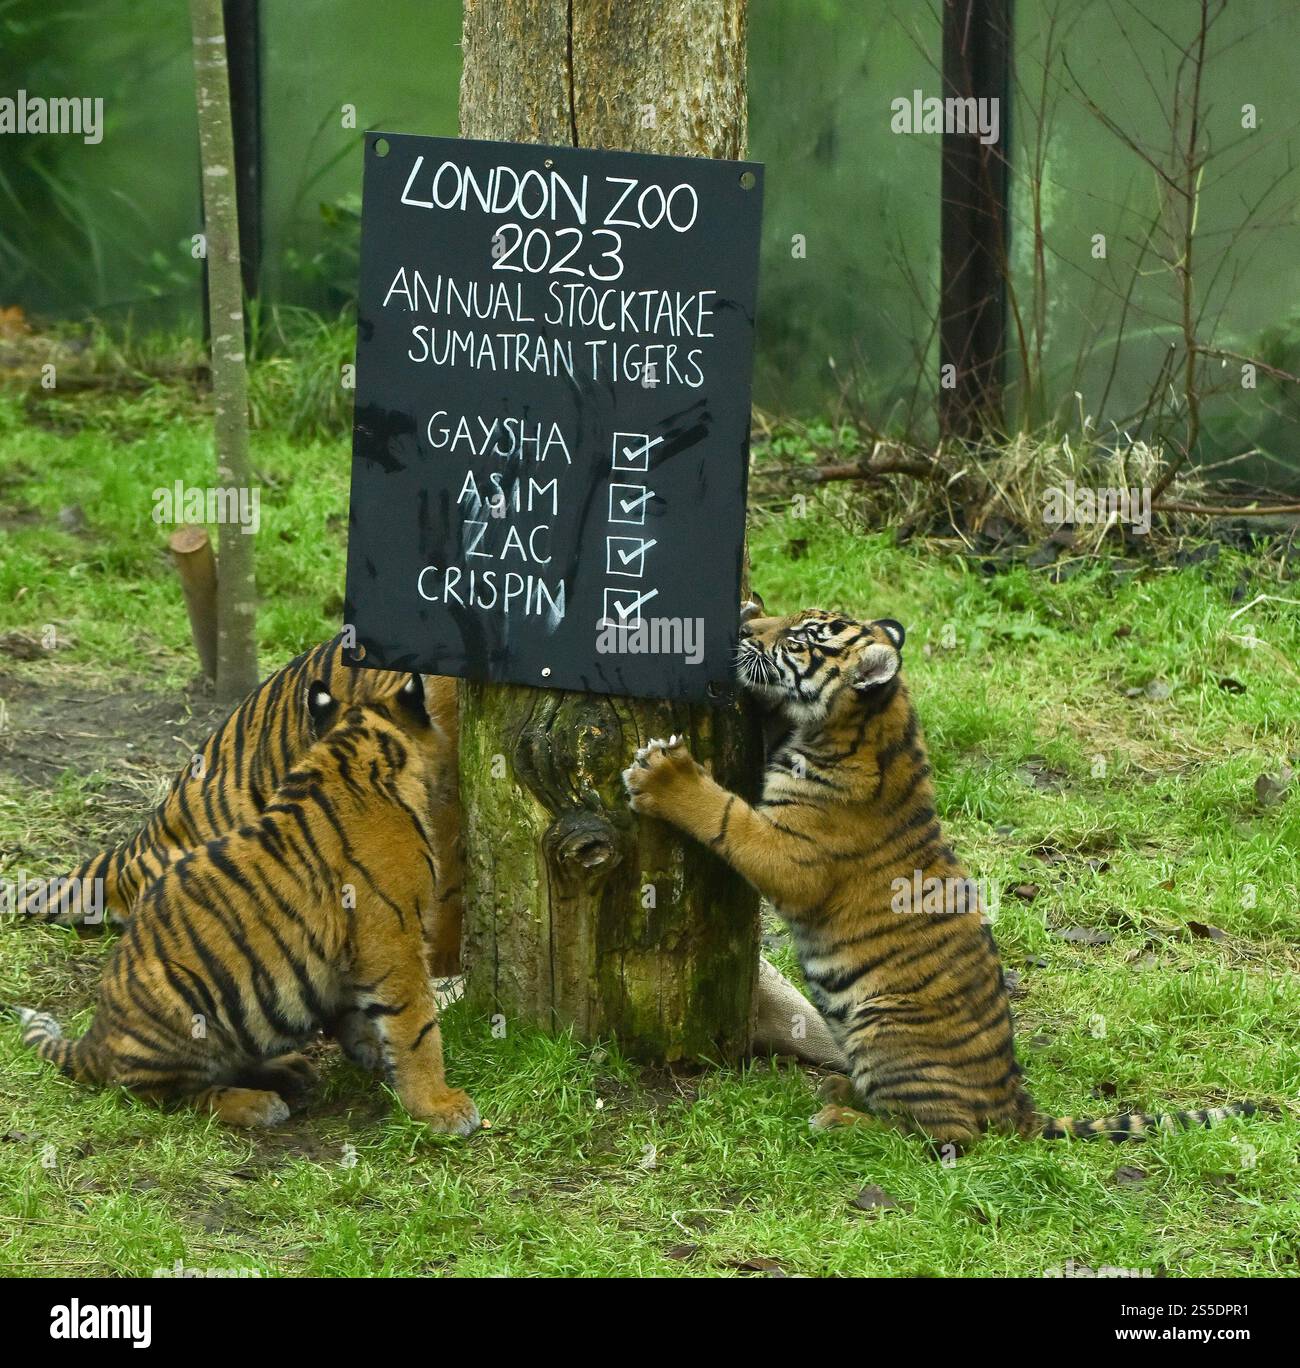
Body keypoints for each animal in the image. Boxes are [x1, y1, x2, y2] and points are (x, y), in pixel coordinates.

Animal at [6, 676, 479, 1133]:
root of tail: (97, 1039)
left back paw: (288, 1069)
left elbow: (356, 1013)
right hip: (183, 1005)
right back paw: (256, 1104)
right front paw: (440, 1107)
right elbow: (417, 1029)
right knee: (167, 1094)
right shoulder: (394, 944)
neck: (354, 746)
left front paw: (373, 1055)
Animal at [622, 602, 1274, 1148]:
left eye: (799, 638)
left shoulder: (793, 854)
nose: (742, 626)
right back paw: (840, 1091)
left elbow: (726, 817)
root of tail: (1014, 1105)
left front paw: (664, 776)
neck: (866, 722)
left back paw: (841, 1116)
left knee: (942, 1136)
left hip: (884, 1027)